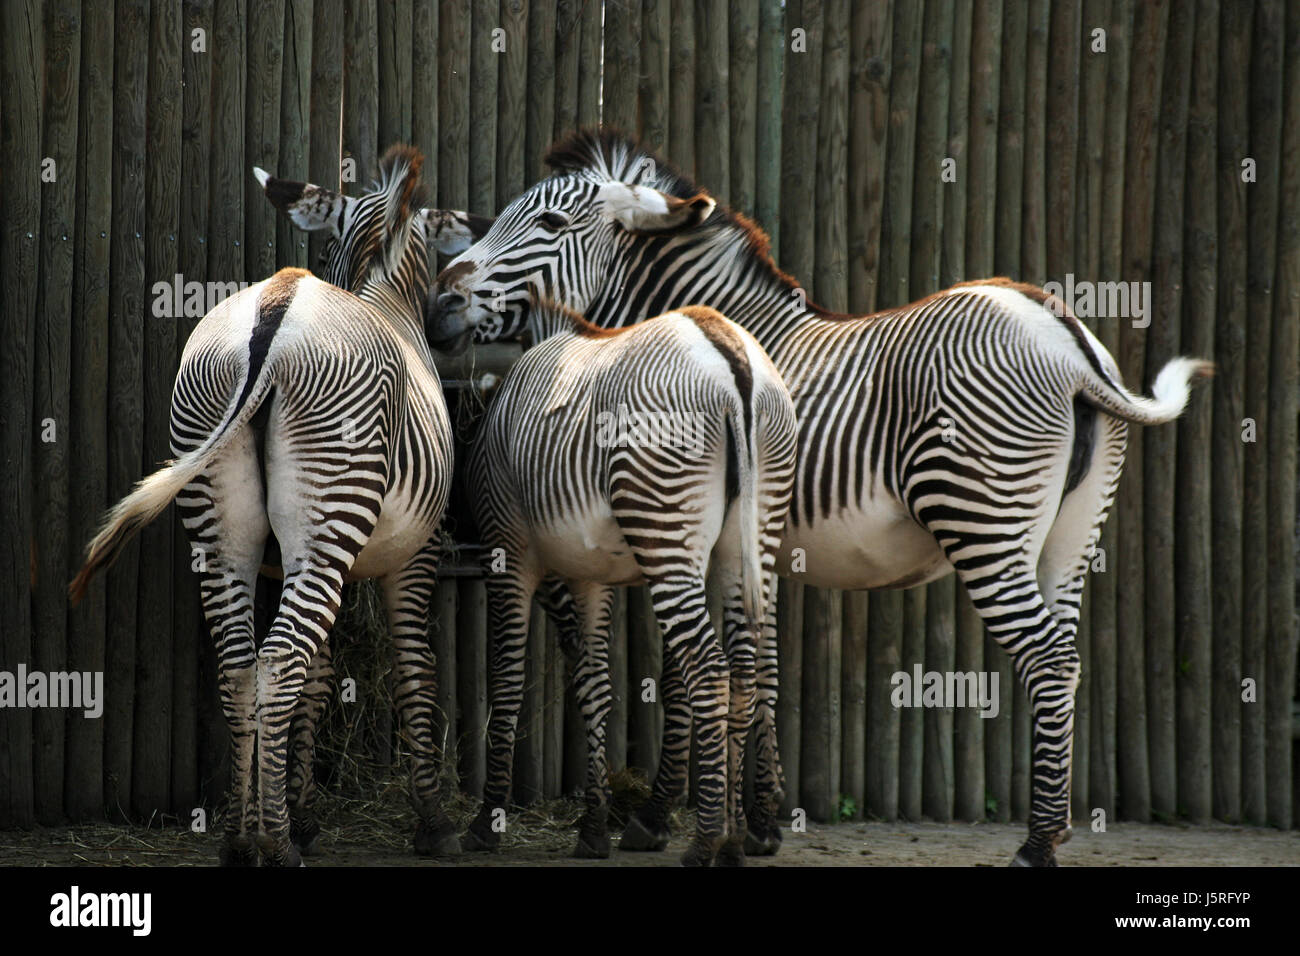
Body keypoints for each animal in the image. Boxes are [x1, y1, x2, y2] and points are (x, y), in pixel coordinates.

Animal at [69, 145, 489, 866]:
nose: (447, 323)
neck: (384, 296)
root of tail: (277, 308)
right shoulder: (418, 557)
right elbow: (413, 674)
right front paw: (433, 823)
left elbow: (320, 682)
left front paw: (303, 814)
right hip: (328, 521)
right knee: (279, 662)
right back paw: (271, 841)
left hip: (223, 515)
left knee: (244, 667)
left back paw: (243, 838)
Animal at [461, 296, 796, 865]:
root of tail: (732, 358)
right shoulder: (591, 574)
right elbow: (594, 683)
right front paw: (594, 827)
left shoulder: (510, 550)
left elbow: (505, 681)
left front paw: (487, 822)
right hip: (748, 534)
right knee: (746, 671)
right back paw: (732, 840)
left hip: (664, 523)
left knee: (709, 668)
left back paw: (706, 841)